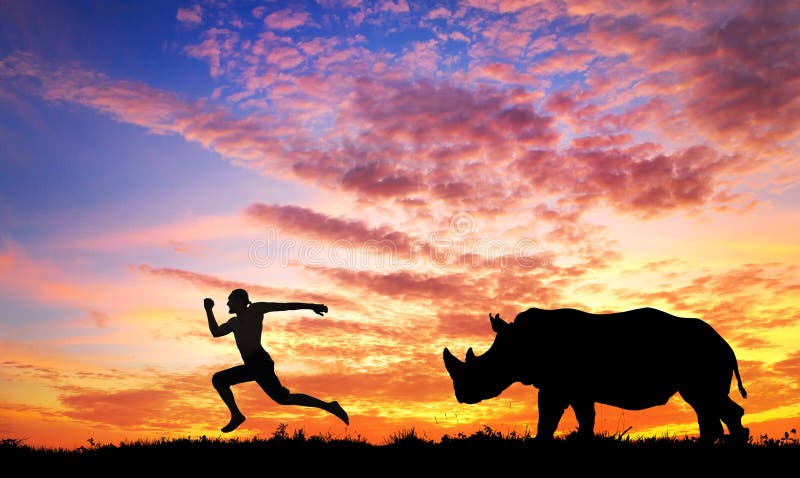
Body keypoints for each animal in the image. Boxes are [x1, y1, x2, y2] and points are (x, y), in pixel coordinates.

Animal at [442, 307, 749, 443]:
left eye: (484, 369)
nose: (461, 396)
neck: (517, 346)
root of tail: (726, 344)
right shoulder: (575, 388)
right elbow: (584, 419)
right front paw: (584, 443)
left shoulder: (556, 385)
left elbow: (547, 419)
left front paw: (540, 443)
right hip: (703, 360)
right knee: (705, 403)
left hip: (703, 355)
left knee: (706, 400)